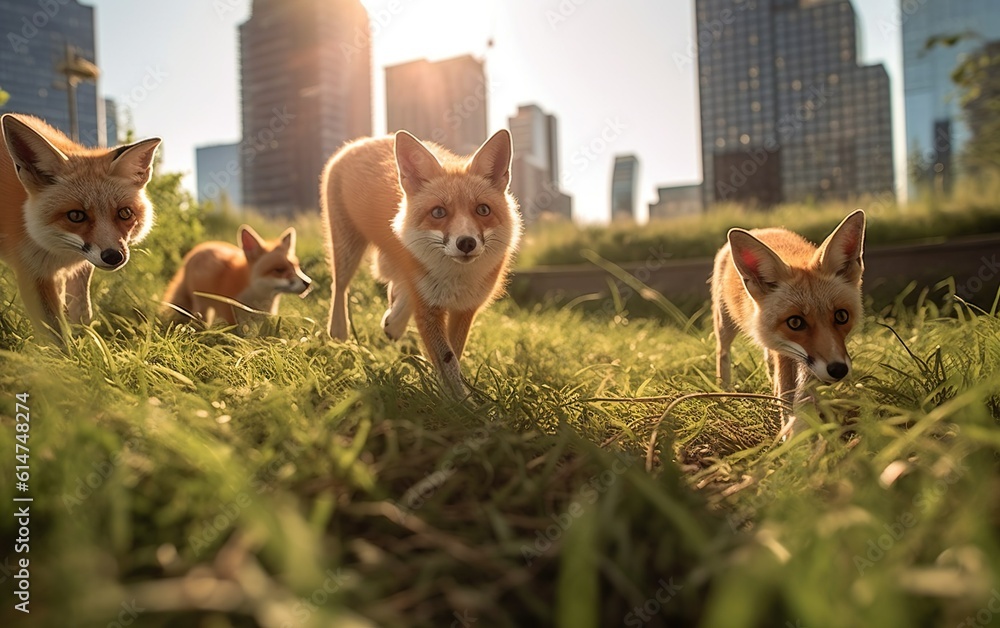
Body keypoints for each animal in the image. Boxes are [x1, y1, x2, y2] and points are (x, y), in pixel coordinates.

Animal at [0, 113, 161, 337]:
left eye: (125, 213)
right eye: (76, 216)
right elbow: (55, 334)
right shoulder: (32, 271)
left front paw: (86, 340)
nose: (114, 257)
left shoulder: (78, 266)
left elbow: (83, 312)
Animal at [161, 224, 312, 326]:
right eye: (279, 270)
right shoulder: (230, 314)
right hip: (203, 307)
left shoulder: (262, 318)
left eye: (297, 267)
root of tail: (196, 250)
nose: (308, 283)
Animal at [320, 129, 522, 396]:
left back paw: (394, 321)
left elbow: (454, 355)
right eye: (438, 212)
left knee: (398, 287)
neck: (455, 279)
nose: (466, 243)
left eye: (483, 210)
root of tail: (368, 140)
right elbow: (447, 359)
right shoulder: (428, 311)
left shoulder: (465, 307)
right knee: (340, 286)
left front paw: (452, 395)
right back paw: (339, 331)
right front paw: (460, 401)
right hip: (347, 248)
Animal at [711, 209, 866, 434]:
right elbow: (786, 396)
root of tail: (760, 229)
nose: (838, 370)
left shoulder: (804, 361)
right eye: (795, 322)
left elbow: (802, 398)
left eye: (841, 316)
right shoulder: (787, 352)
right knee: (722, 353)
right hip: (725, 326)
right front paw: (792, 436)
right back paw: (725, 391)